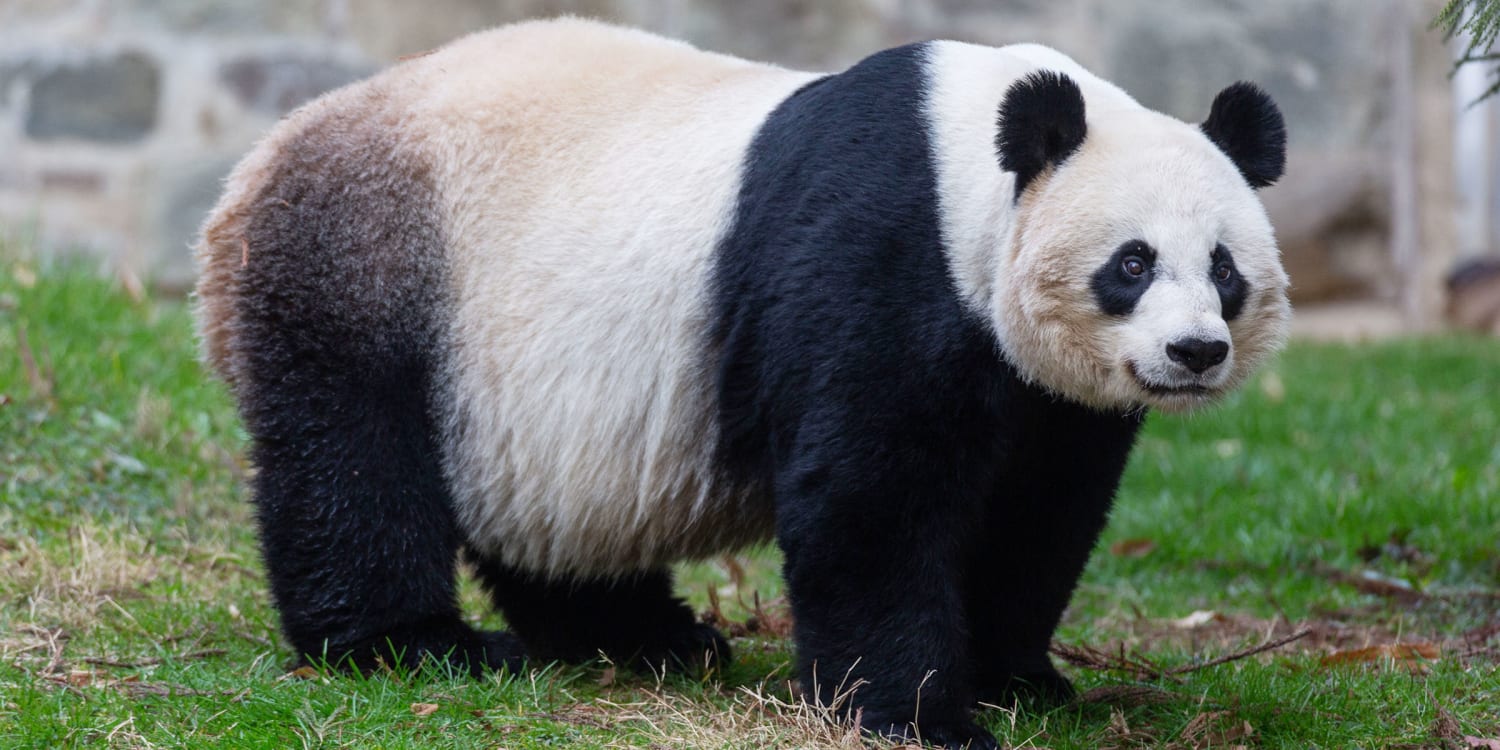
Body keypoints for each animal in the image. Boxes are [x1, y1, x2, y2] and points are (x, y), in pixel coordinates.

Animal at [195, 18, 1288, 750]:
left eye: (1225, 268)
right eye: (1132, 264)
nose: (1195, 352)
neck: (973, 170)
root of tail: (254, 170)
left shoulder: (1046, 395)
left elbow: (1041, 508)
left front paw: (1019, 678)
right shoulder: (881, 258)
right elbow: (870, 497)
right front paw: (918, 714)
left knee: (542, 516)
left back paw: (649, 639)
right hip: (366, 269)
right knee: (352, 462)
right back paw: (417, 644)